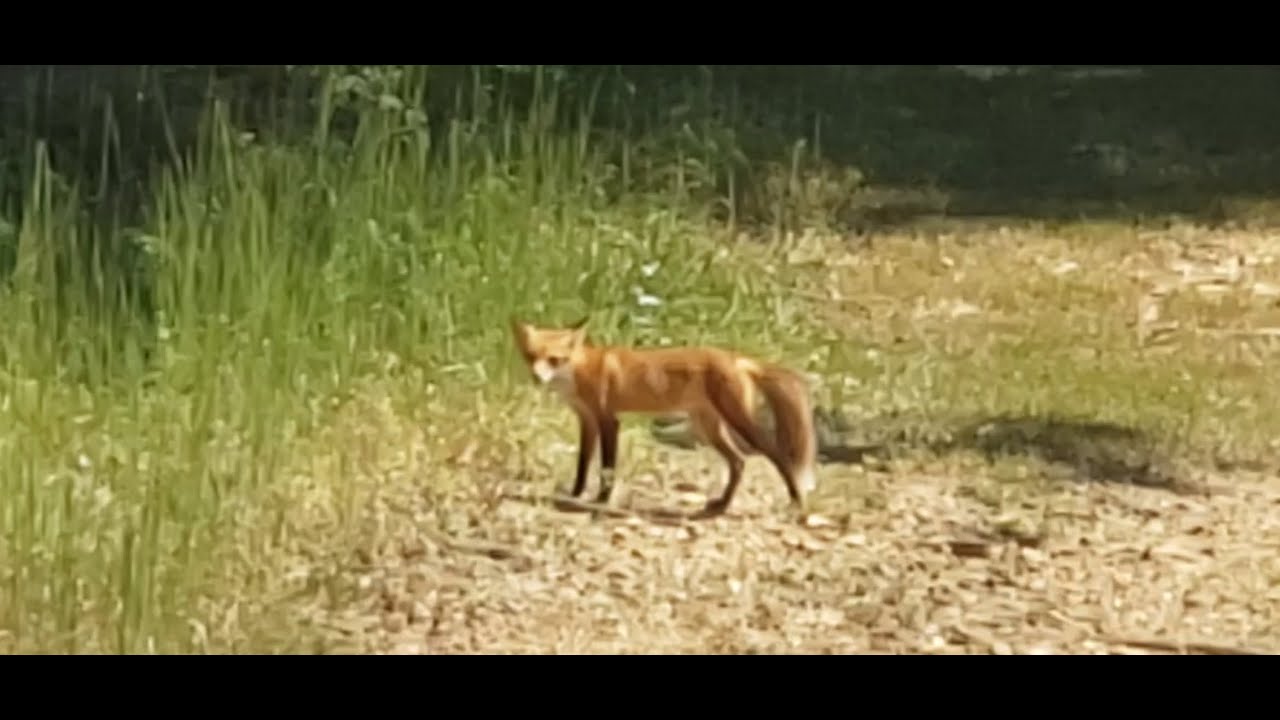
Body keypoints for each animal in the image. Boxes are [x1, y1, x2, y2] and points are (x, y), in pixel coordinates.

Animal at [511, 316, 818, 516]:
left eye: (554, 359)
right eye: (530, 356)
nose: (537, 377)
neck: (580, 370)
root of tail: (737, 358)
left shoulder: (608, 419)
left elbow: (608, 466)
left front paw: (602, 498)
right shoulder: (586, 420)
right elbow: (583, 464)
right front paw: (575, 493)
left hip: (738, 422)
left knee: (776, 455)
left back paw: (795, 501)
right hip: (708, 427)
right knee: (739, 462)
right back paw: (721, 505)